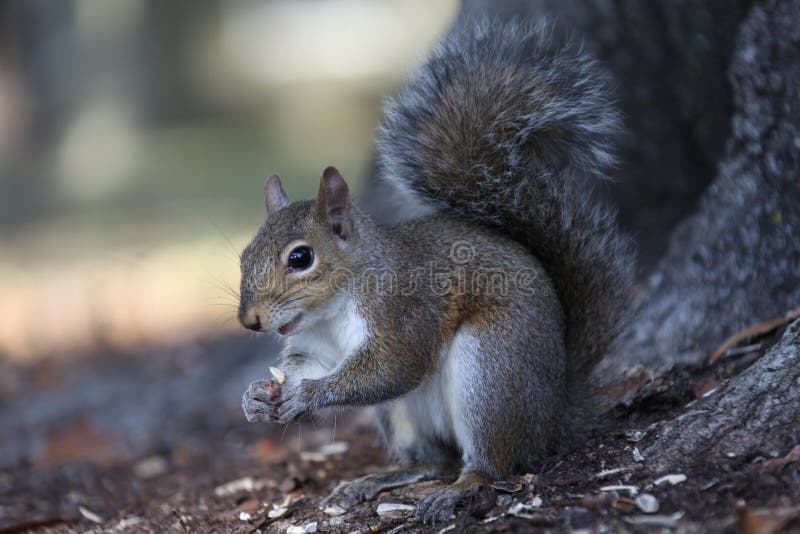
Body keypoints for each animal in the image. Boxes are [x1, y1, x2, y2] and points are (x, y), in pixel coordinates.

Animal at [238, 20, 633, 524]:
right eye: (244, 255)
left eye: (300, 258)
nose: (249, 320)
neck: (333, 309)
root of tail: (554, 414)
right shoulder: (315, 347)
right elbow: (312, 368)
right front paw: (255, 398)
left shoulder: (404, 309)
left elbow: (393, 367)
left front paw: (306, 396)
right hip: (400, 416)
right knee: (433, 459)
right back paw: (379, 480)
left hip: (492, 368)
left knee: (492, 462)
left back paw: (460, 488)